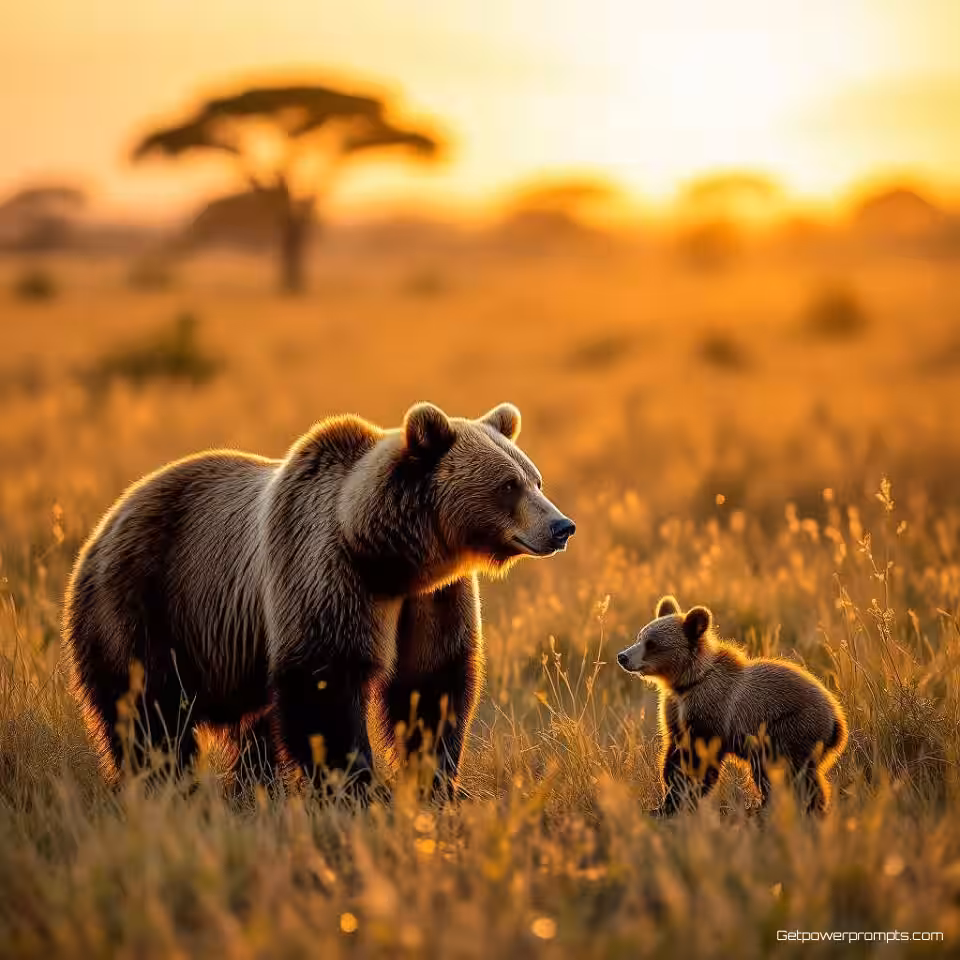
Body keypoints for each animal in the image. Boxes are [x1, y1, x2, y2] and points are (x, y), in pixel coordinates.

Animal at [62, 401, 575, 797]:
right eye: (508, 485)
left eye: (536, 479)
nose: (561, 527)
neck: (390, 559)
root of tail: (108, 520)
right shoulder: (324, 571)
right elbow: (326, 684)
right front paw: (358, 789)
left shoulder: (433, 601)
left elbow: (432, 685)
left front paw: (438, 783)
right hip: (144, 602)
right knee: (147, 710)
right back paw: (168, 785)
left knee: (251, 728)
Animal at [617, 596, 847, 815]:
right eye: (639, 637)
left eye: (652, 643)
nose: (623, 656)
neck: (687, 683)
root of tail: (837, 720)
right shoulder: (675, 711)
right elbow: (675, 756)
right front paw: (665, 803)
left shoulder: (712, 710)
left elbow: (698, 758)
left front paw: (681, 799)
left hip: (789, 729)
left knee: (788, 773)